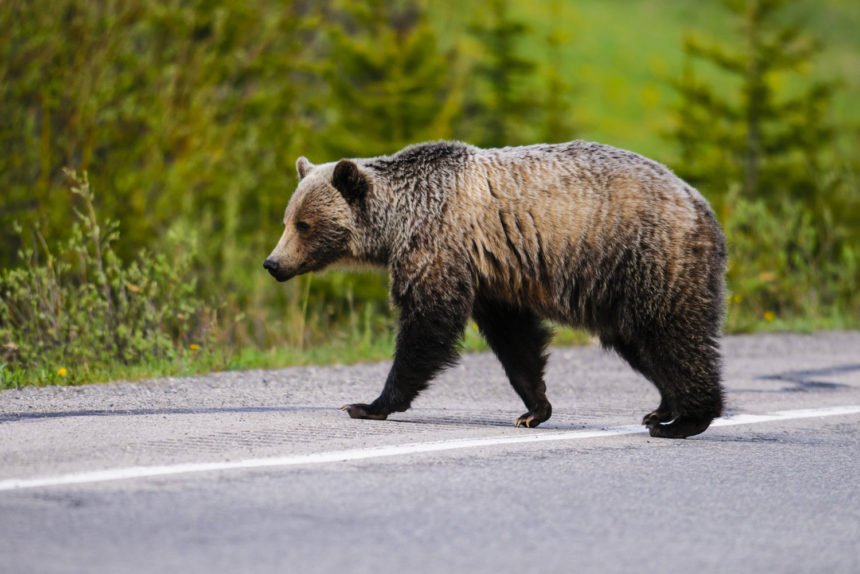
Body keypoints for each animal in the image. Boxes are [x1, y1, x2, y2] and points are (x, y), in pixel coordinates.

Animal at [264, 140, 727, 438]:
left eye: (304, 224)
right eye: (287, 219)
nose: (273, 263)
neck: (396, 222)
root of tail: (700, 202)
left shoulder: (439, 245)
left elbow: (427, 325)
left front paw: (368, 405)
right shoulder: (492, 273)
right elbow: (515, 341)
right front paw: (533, 409)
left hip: (647, 257)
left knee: (672, 334)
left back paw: (683, 421)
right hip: (623, 285)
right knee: (640, 342)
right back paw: (662, 408)